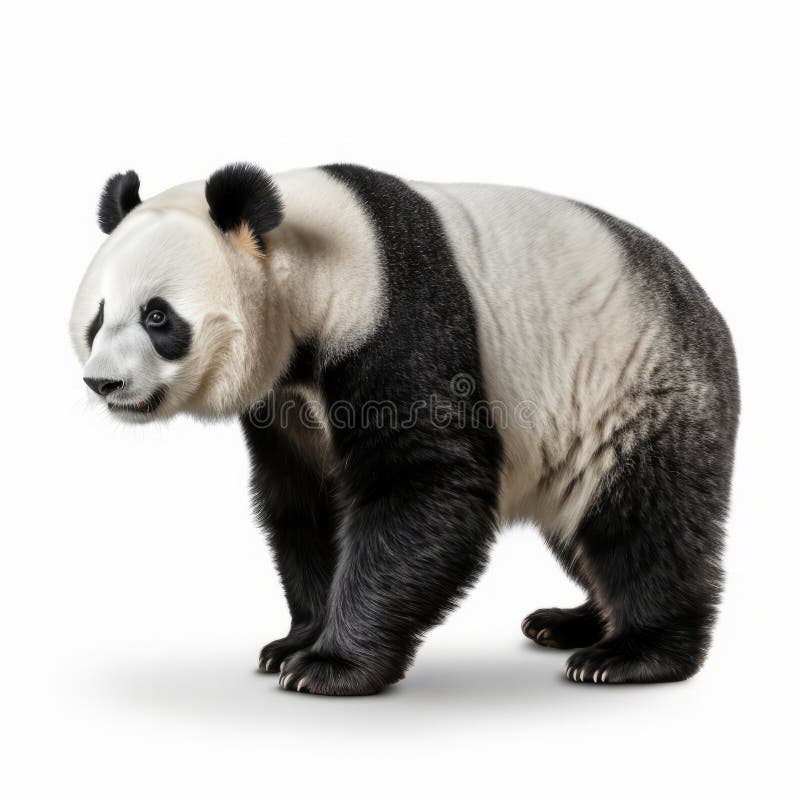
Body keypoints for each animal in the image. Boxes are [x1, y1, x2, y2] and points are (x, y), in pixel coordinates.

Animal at [70, 163, 739, 695]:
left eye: (158, 317)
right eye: (97, 318)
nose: (103, 383)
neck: (315, 258)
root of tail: (705, 304)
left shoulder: (400, 320)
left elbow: (423, 484)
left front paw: (332, 667)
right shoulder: (286, 404)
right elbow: (302, 503)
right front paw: (295, 644)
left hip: (632, 381)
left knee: (643, 520)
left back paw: (631, 654)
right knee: (580, 531)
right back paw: (568, 621)